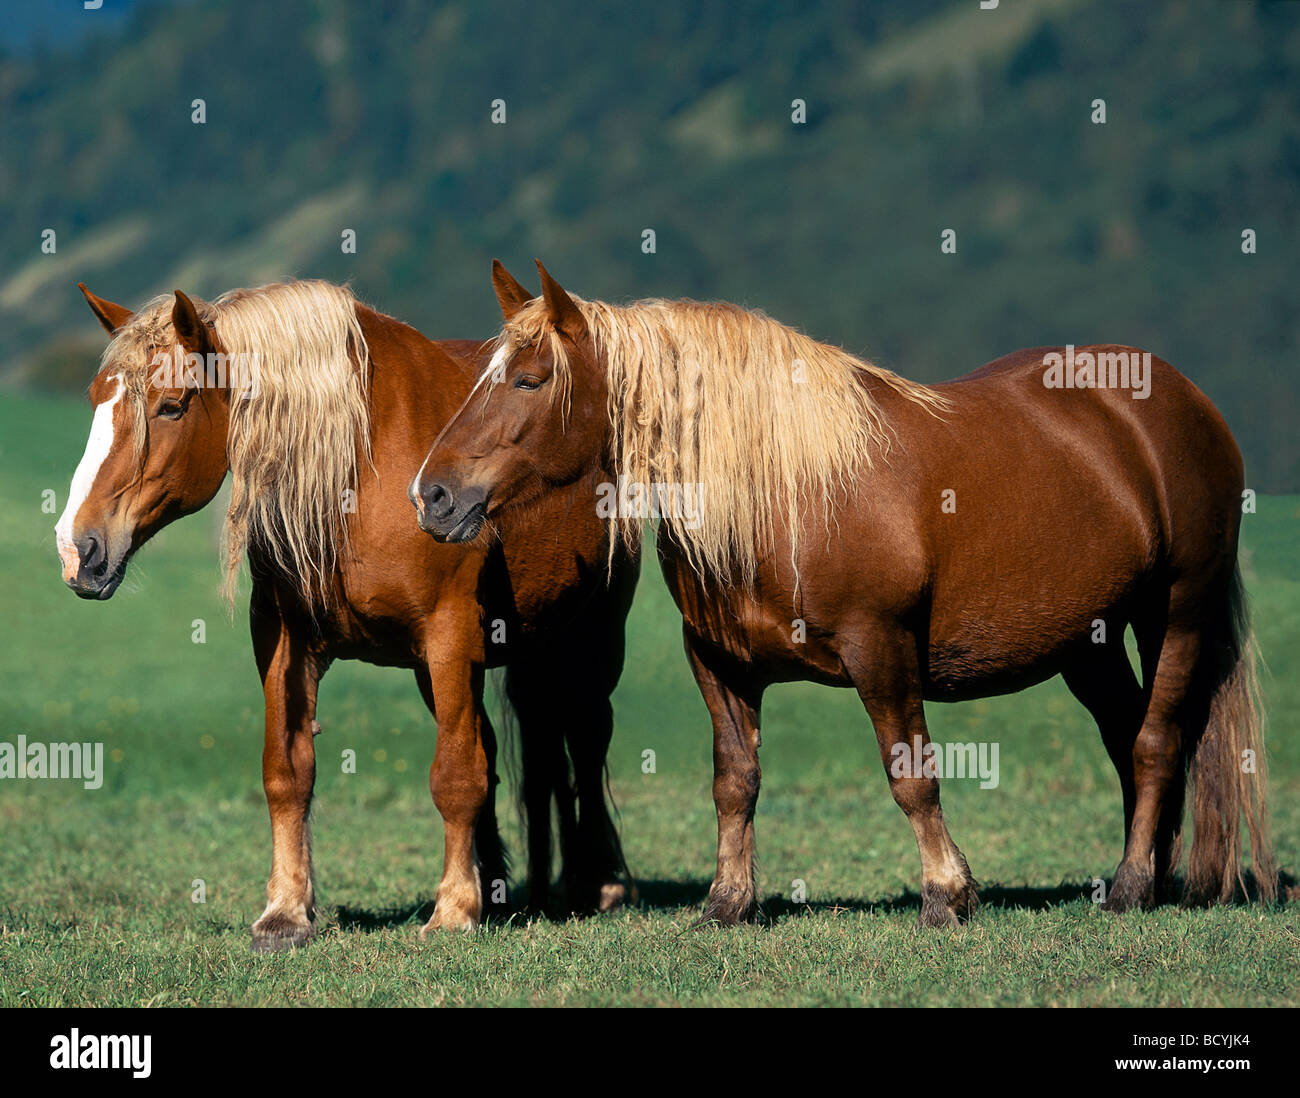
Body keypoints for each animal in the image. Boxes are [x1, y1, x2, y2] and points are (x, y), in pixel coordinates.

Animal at [56, 272, 639, 950]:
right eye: (96, 399)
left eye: (172, 405)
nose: (77, 548)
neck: (362, 467)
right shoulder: (284, 640)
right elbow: (288, 771)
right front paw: (285, 911)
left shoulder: (451, 636)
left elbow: (455, 776)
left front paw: (454, 909)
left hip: (590, 638)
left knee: (586, 741)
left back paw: (599, 884)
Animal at [412, 259, 1277, 928]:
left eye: (530, 381)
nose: (434, 496)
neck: (783, 494)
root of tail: (1180, 401)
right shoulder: (719, 665)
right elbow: (735, 781)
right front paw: (728, 902)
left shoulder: (881, 651)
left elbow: (911, 772)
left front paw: (947, 894)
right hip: (1087, 641)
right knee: (1126, 735)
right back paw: (1150, 875)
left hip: (1178, 612)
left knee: (1156, 741)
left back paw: (1130, 887)